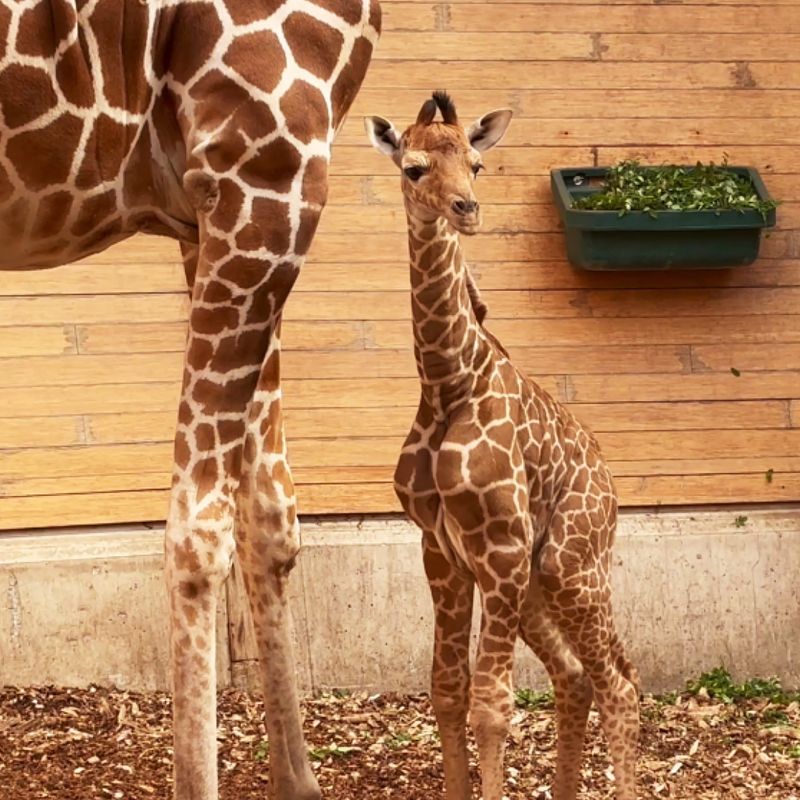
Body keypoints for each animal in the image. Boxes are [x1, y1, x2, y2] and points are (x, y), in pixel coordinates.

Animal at [365, 91, 639, 800]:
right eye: (413, 168)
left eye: (477, 164)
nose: (468, 209)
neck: (448, 382)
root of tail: (613, 489)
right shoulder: (442, 551)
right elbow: (447, 690)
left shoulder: (501, 547)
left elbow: (492, 704)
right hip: (537, 582)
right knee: (578, 677)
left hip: (569, 564)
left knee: (620, 684)